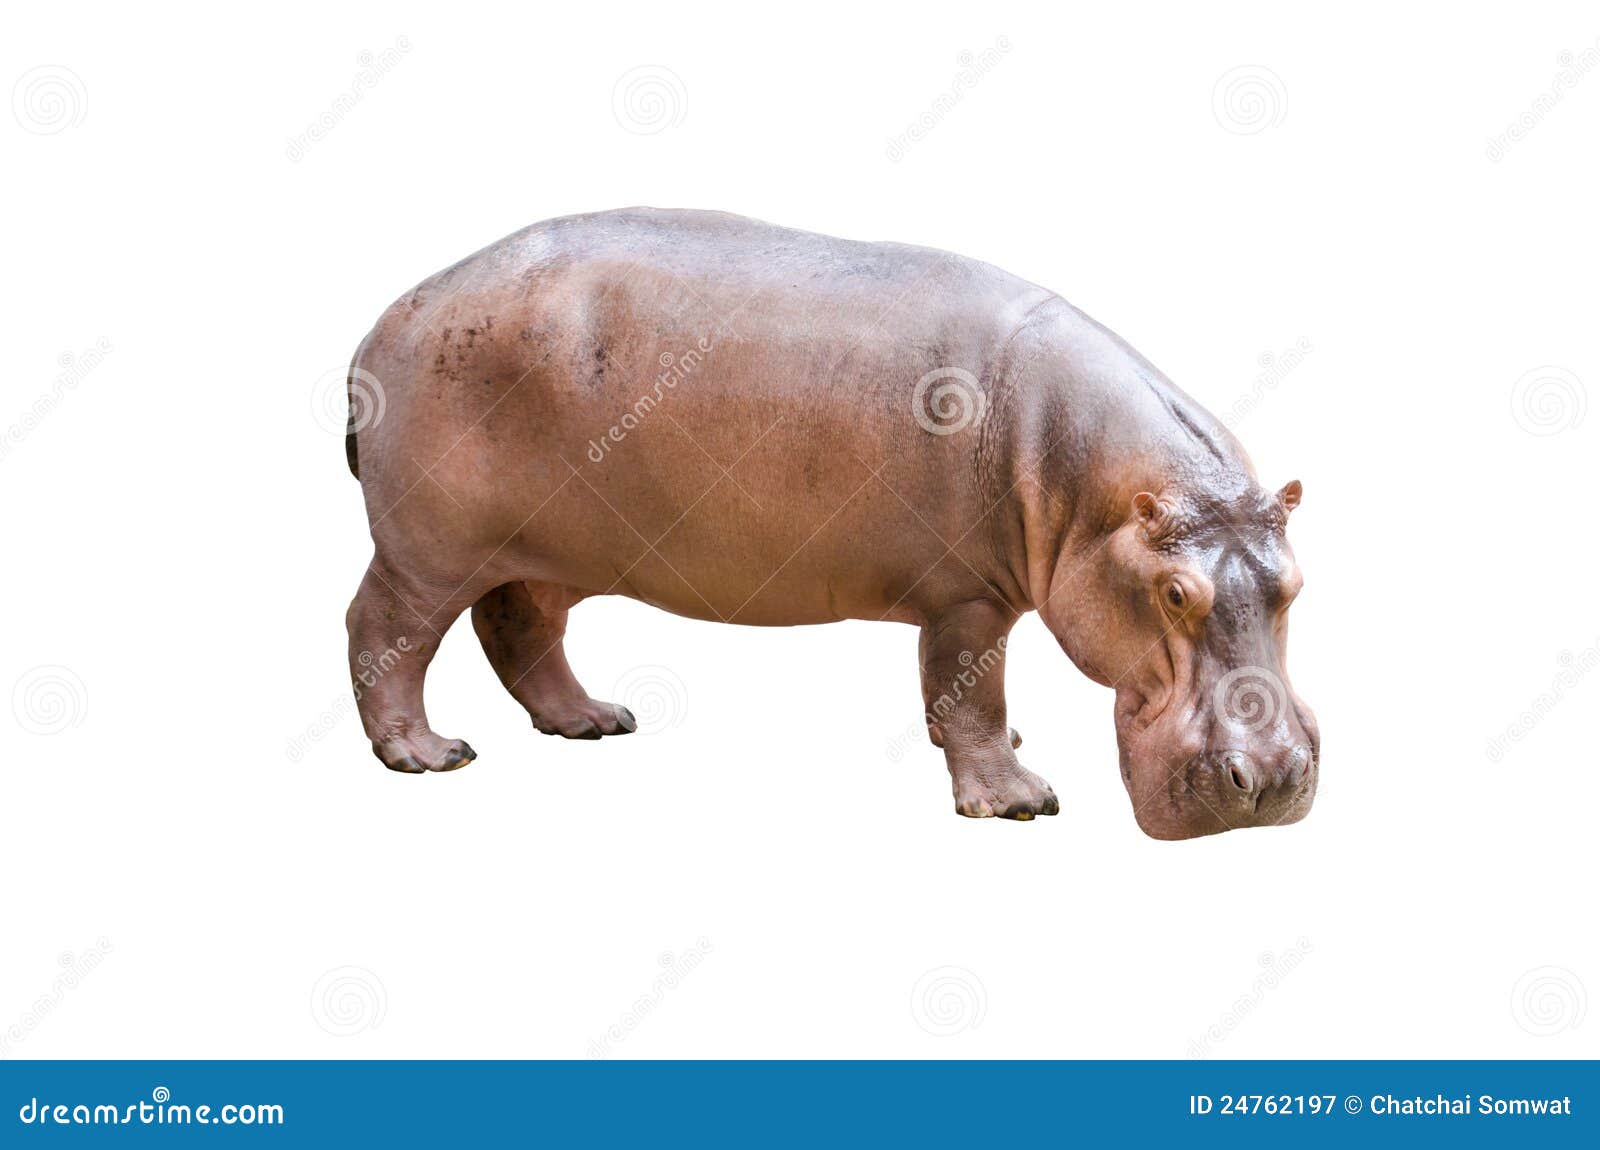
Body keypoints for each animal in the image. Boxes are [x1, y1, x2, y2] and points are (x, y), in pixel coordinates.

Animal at [344, 207, 1318, 839]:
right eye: (1175, 593)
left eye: (1298, 586)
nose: (1272, 779)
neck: (1092, 492)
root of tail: (387, 316)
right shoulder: (967, 599)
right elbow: (973, 688)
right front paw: (1018, 802)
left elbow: (960, 700)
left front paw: (1003, 750)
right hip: (428, 551)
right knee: (383, 632)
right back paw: (429, 755)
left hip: (546, 552)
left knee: (519, 626)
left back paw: (593, 721)